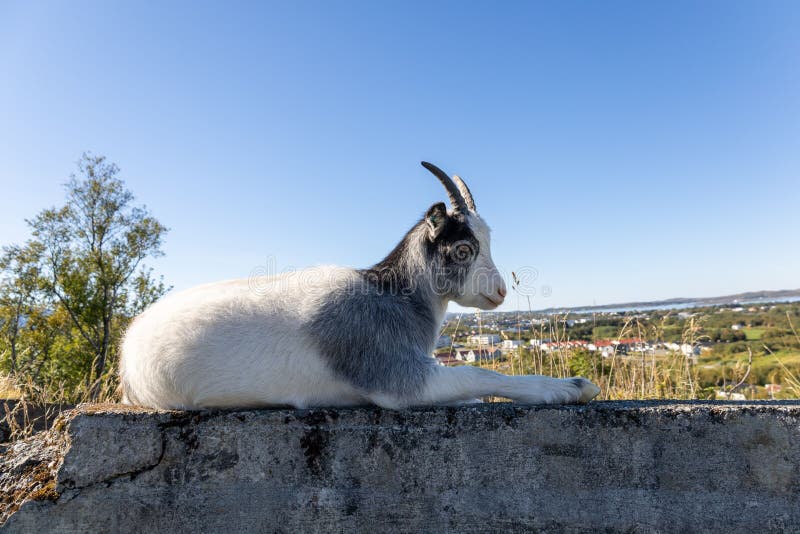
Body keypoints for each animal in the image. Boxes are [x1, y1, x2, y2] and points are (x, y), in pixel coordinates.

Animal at [120, 162, 600, 409]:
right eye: (463, 248)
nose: (499, 292)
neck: (390, 295)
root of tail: (128, 348)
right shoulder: (398, 379)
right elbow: (478, 373)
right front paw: (569, 387)